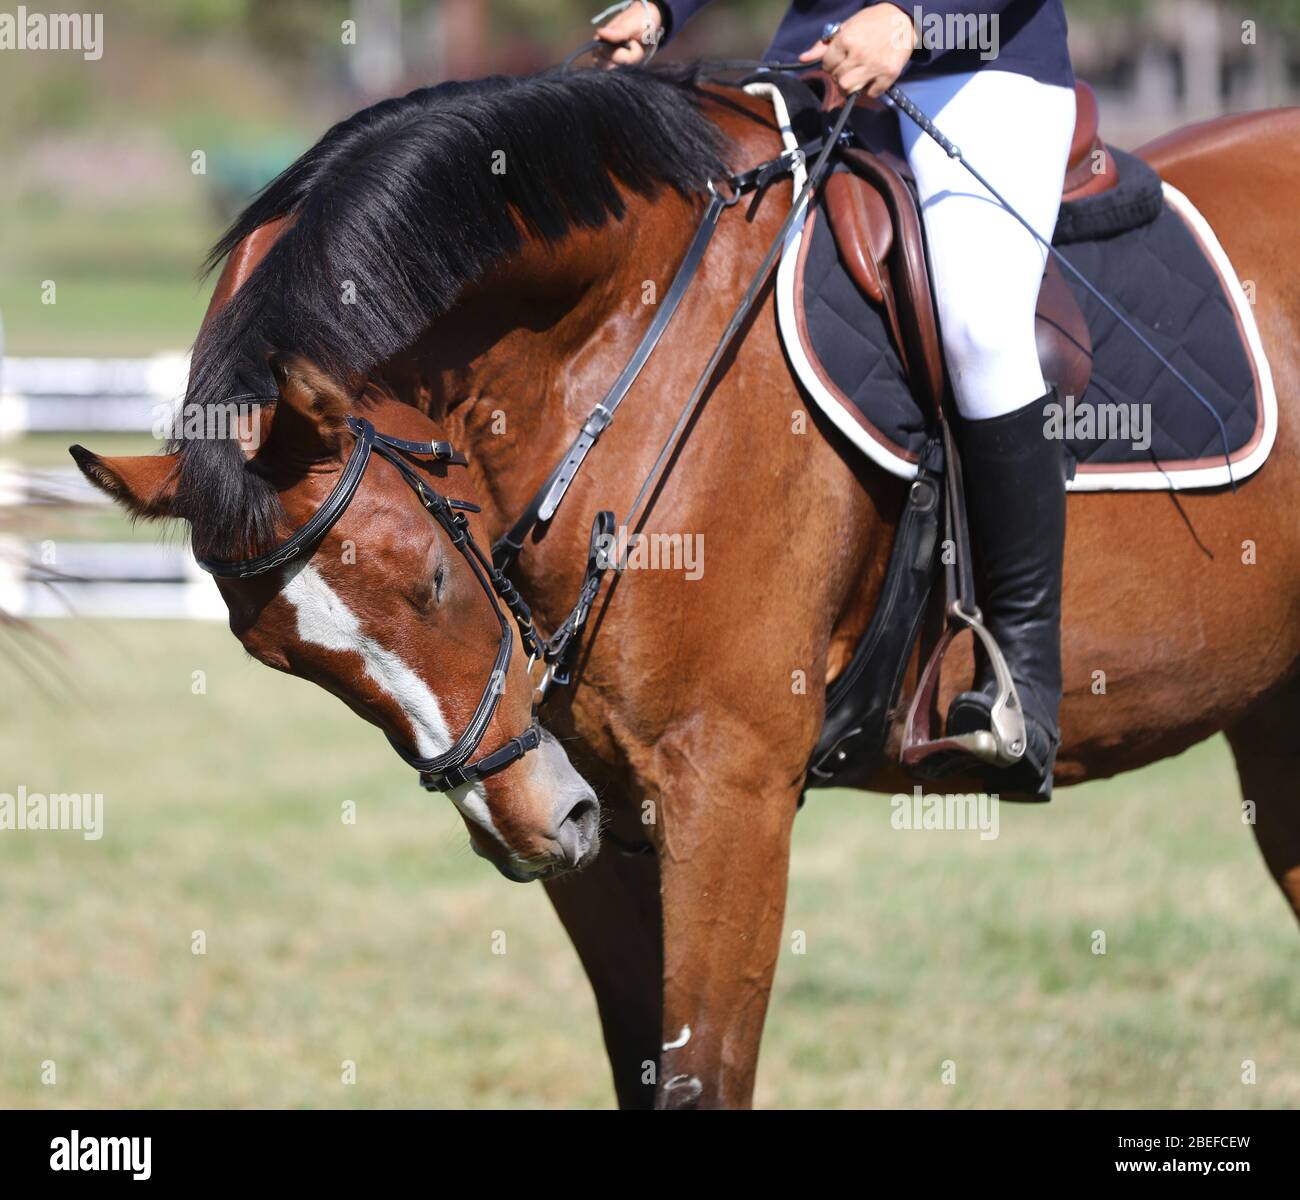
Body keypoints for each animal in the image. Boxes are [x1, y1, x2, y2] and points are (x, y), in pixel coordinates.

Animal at [70, 66, 1300, 1108]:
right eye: (284, 659)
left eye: (428, 578)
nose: (529, 827)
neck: (617, 351)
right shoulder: (604, 813)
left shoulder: (729, 789)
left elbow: (704, 1074)